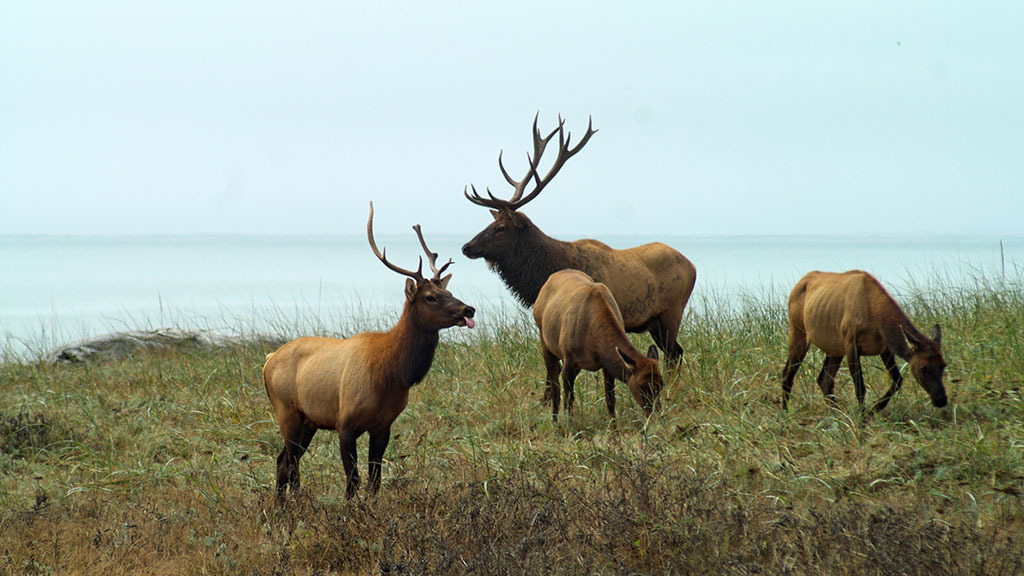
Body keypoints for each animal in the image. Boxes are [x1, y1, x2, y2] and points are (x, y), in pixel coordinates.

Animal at [262, 202, 476, 500]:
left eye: (449, 291)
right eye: (430, 297)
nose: (469, 309)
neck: (392, 374)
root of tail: (268, 360)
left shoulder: (383, 425)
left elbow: (375, 480)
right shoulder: (345, 422)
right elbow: (353, 480)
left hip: (308, 420)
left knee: (283, 460)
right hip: (287, 410)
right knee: (289, 461)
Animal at [461, 113, 696, 365]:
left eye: (501, 228)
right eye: (491, 223)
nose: (466, 247)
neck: (545, 270)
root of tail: (692, 266)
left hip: (672, 313)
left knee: (674, 354)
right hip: (656, 324)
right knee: (676, 352)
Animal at [533, 269, 664, 423]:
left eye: (661, 384)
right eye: (641, 385)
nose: (656, 414)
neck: (595, 344)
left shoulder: (606, 365)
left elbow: (610, 400)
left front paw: (614, 426)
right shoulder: (569, 358)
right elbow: (568, 399)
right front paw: (568, 425)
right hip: (545, 340)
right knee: (555, 385)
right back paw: (554, 421)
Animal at [781, 270, 948, 414]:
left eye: (943, 365)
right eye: (923, 367)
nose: (941, 399)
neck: (878, 322)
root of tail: (796, 286)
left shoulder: (885, 349)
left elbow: (897, 380)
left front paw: (873, 410)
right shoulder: (851, 346)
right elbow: (860, 389)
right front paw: (862, 418)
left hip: (835, 348)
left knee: (824, 379)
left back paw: (836, 413)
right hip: (798, 333)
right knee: (788, 375)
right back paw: (786, 412)